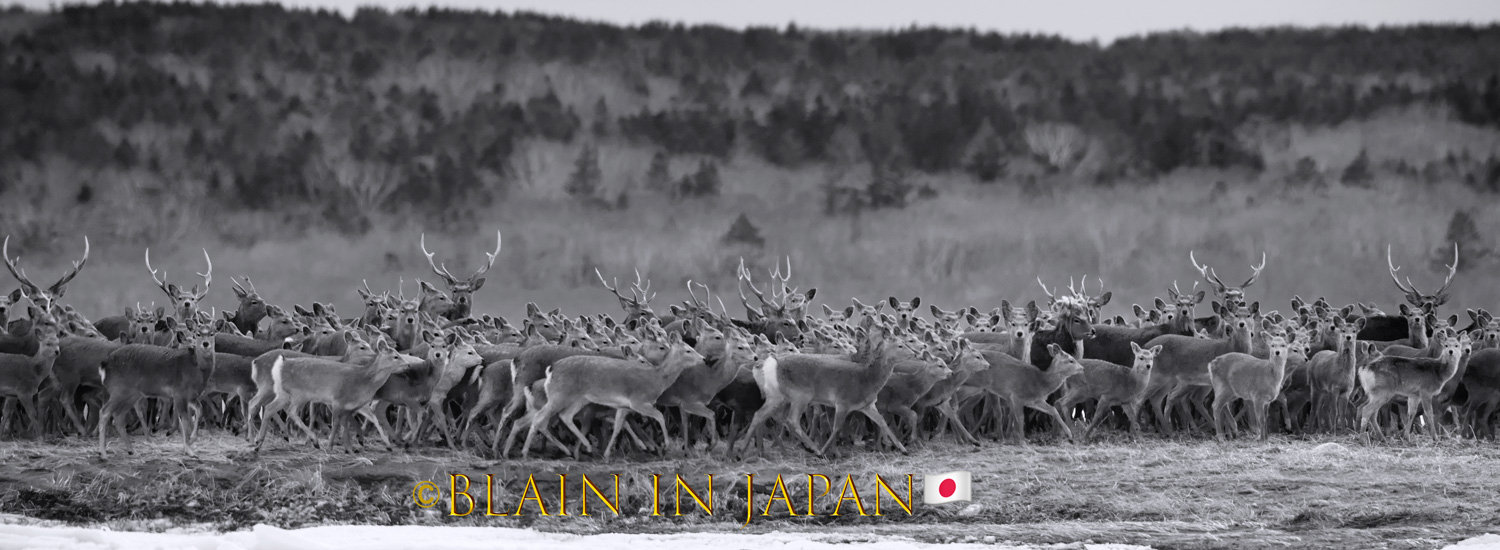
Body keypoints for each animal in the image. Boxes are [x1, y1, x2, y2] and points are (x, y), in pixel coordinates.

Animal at [97, 315, 218, 458]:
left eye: (212, 333)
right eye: (198, 333)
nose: (205, 344)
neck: (196, 369)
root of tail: (104, 365)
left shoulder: (191, 396)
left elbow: (198, 411)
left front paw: (190, 442)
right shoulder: (179, 392)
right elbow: (185, 421)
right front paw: (189, 449)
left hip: (131, 394)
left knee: (118, 416)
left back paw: (131, 450)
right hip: (119, 390)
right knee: (104, 412)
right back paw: (103, 453)